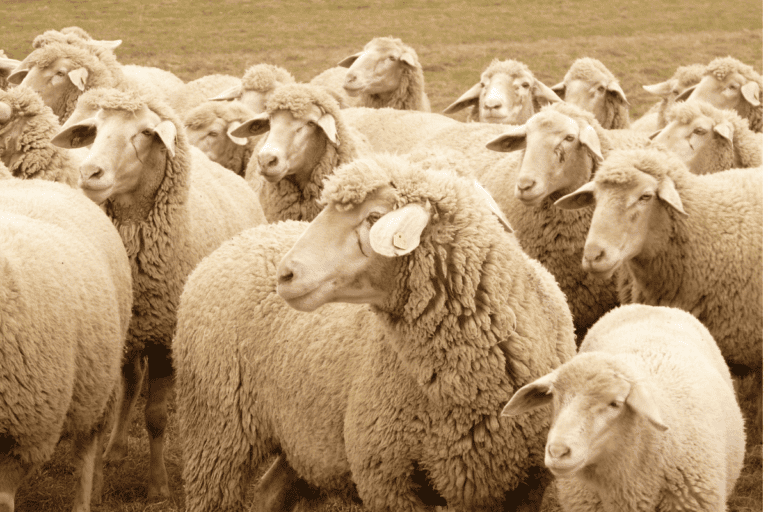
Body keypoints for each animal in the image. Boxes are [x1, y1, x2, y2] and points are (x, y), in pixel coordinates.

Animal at [51, 86, 267, 499]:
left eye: (145, 133)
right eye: (95, 129)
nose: (90, 172)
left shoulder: (165, 337)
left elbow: (155, 417)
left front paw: (158, 486)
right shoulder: (120, 335)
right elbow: (113, 405)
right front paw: (98, 482)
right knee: (131, 383)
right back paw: (117, 449)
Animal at [174, 153, 576, 512]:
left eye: (374, 217)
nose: (285, 274)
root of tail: (240, 240)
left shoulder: (522, 485)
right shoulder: (387, 479)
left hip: (302, 438)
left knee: (270, 493)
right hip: (215, 433)